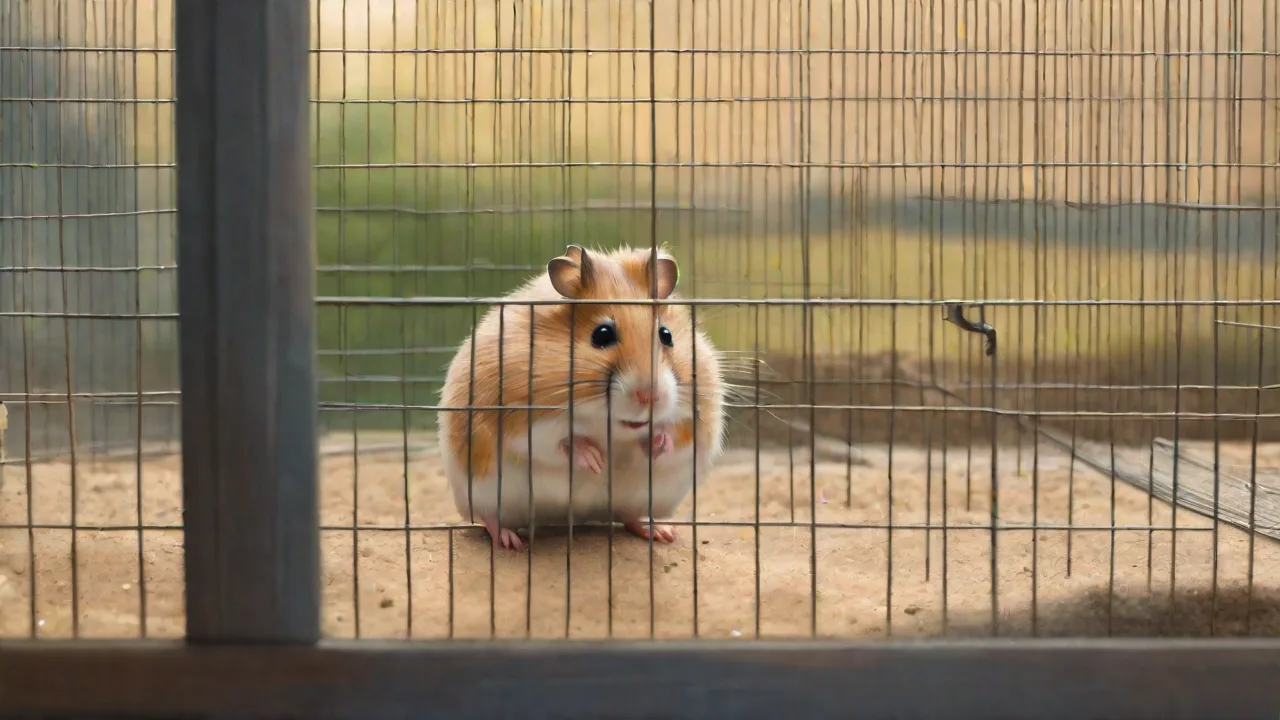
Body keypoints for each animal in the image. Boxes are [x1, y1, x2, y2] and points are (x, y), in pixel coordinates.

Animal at [437, 244, 726, 550]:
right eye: (602, 334)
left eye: (666, 335)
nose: (650, 397)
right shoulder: (520, 419)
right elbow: (557, 441)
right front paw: (596, 461)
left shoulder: (697, 415)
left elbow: (677, 434)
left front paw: (656, 444)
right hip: (484, 494)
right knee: (488, 518)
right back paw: (510, 541)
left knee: (630, 517)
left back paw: (662, 532)